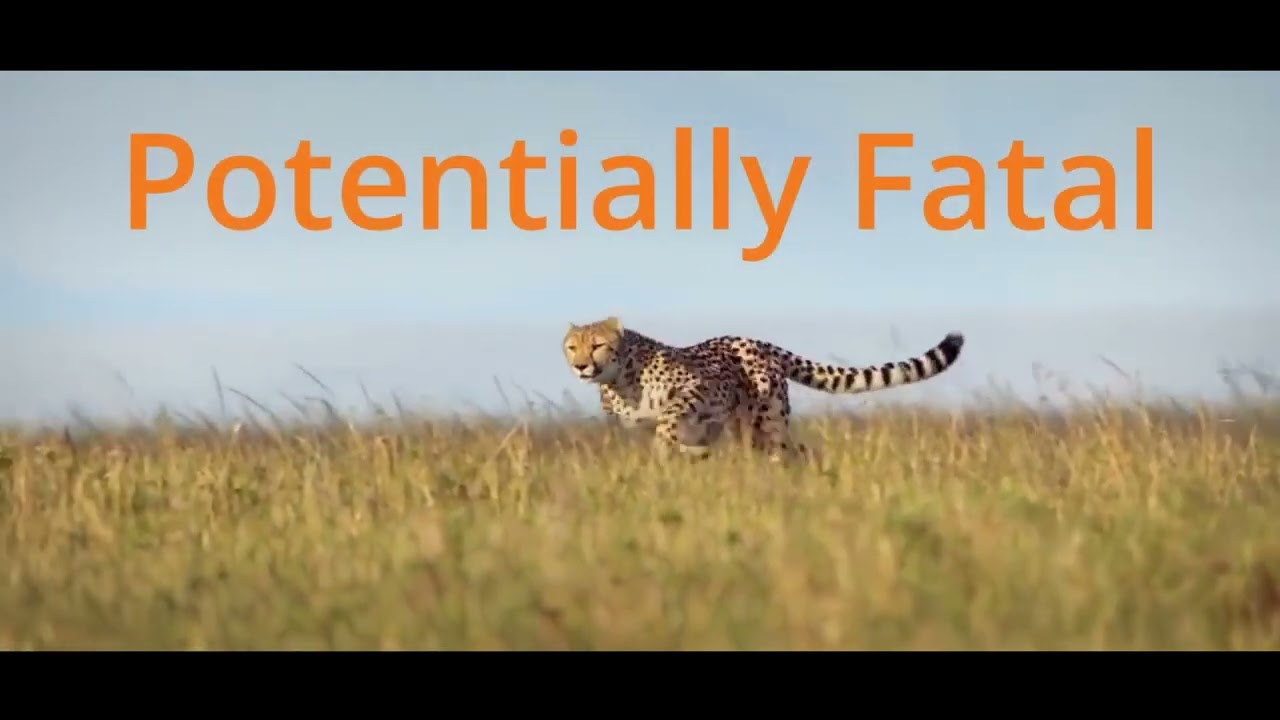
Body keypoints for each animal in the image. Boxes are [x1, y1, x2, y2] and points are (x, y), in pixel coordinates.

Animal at [562, 315, 966, 463]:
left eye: (597, 345)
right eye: (571, 346)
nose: (581, 365)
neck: (618, 379)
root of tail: (755, 340)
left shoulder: (700, 388)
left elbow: (670, 420)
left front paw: (672, 446)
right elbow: (668, 441)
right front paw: (688, 455)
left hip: (766, 423)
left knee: (787, 451)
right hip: (752, 432)